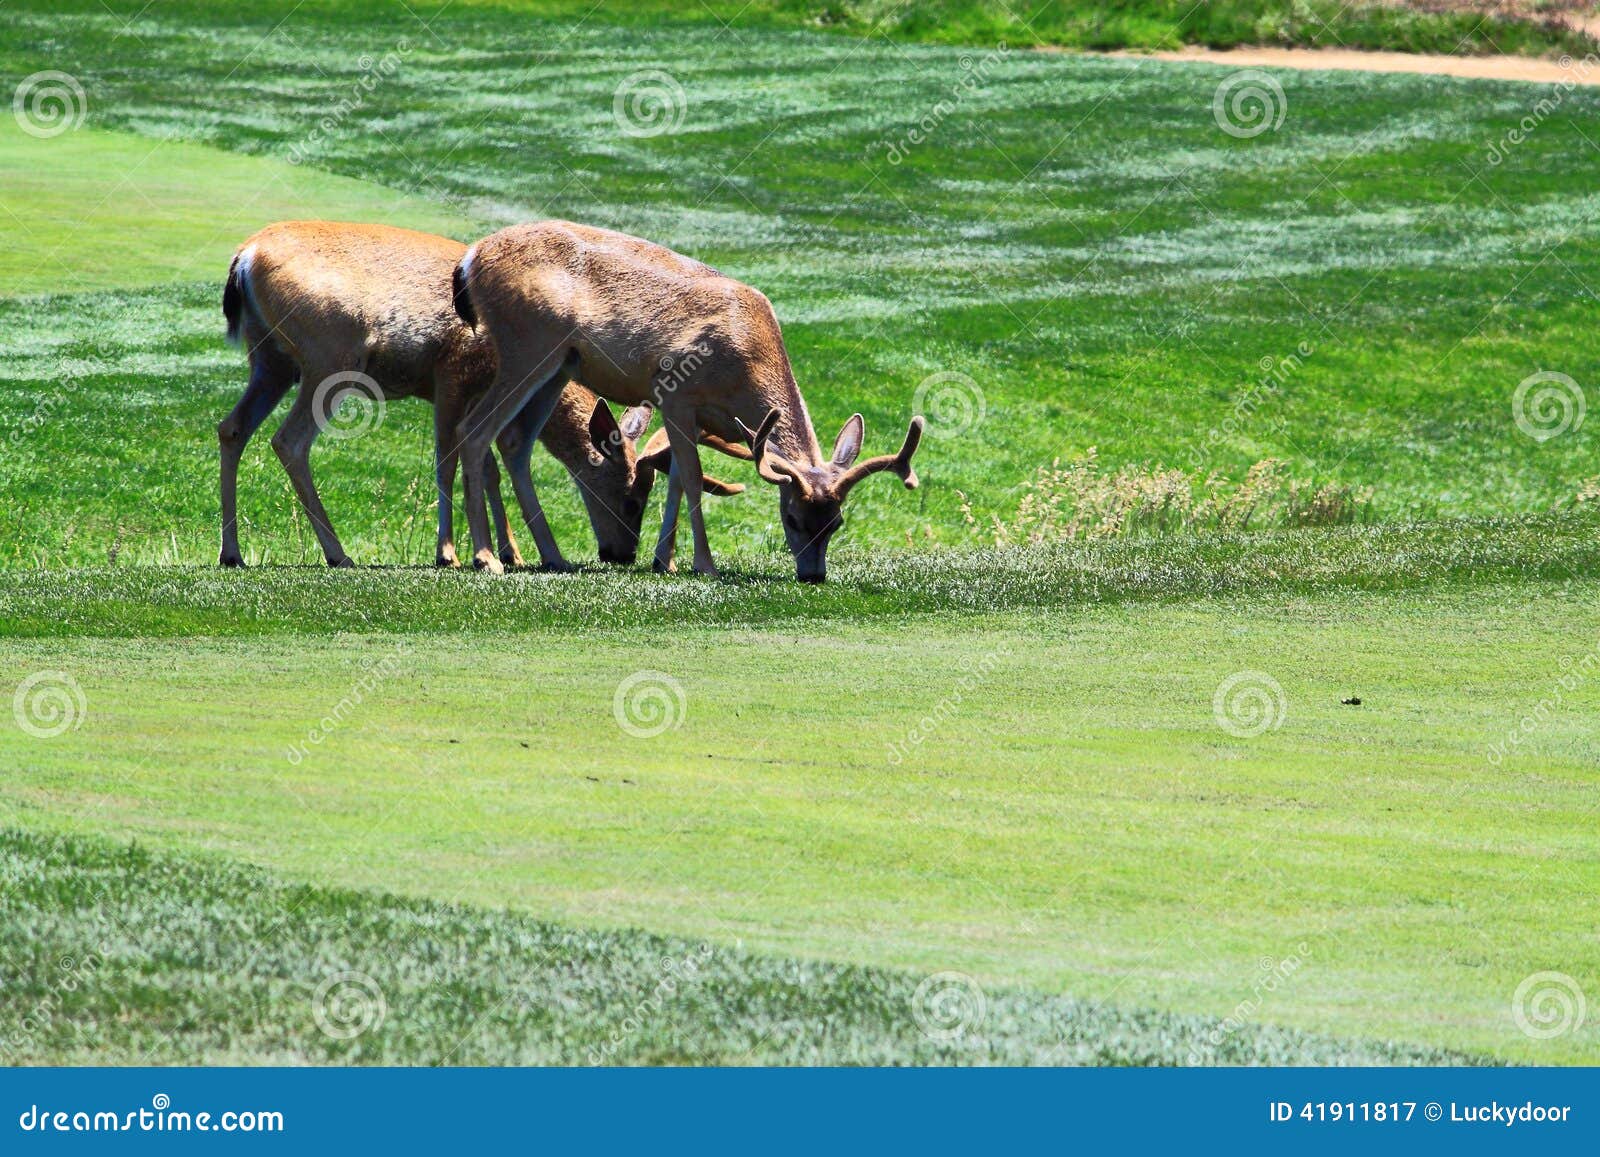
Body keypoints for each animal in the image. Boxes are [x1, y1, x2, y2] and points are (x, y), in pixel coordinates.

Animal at [218, 222, 744, 570]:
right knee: (290, 440)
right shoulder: (451, 371)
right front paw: (454, 553)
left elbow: (486, 464)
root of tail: (244, 257)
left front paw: (508, 551)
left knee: (232, 427)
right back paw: (337, 553)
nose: (621, 554)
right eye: (631, 496)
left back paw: (233, 553)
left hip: (271, 361)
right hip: (329, 358)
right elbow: (450, 456)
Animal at [450, 220, 924, 582]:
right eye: (791, 518)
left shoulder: (699, 418)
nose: (813, 574)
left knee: (515, 441)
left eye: (837, 523)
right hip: (527, 345)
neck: (745, 362)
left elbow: (676, 476)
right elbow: (693, 477)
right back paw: (486, 558)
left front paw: (665, 560)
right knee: (473, 430)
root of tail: (471, 258)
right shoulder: (675, 391)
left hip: (560, 365)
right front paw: (703, 564)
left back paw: (552, 556)